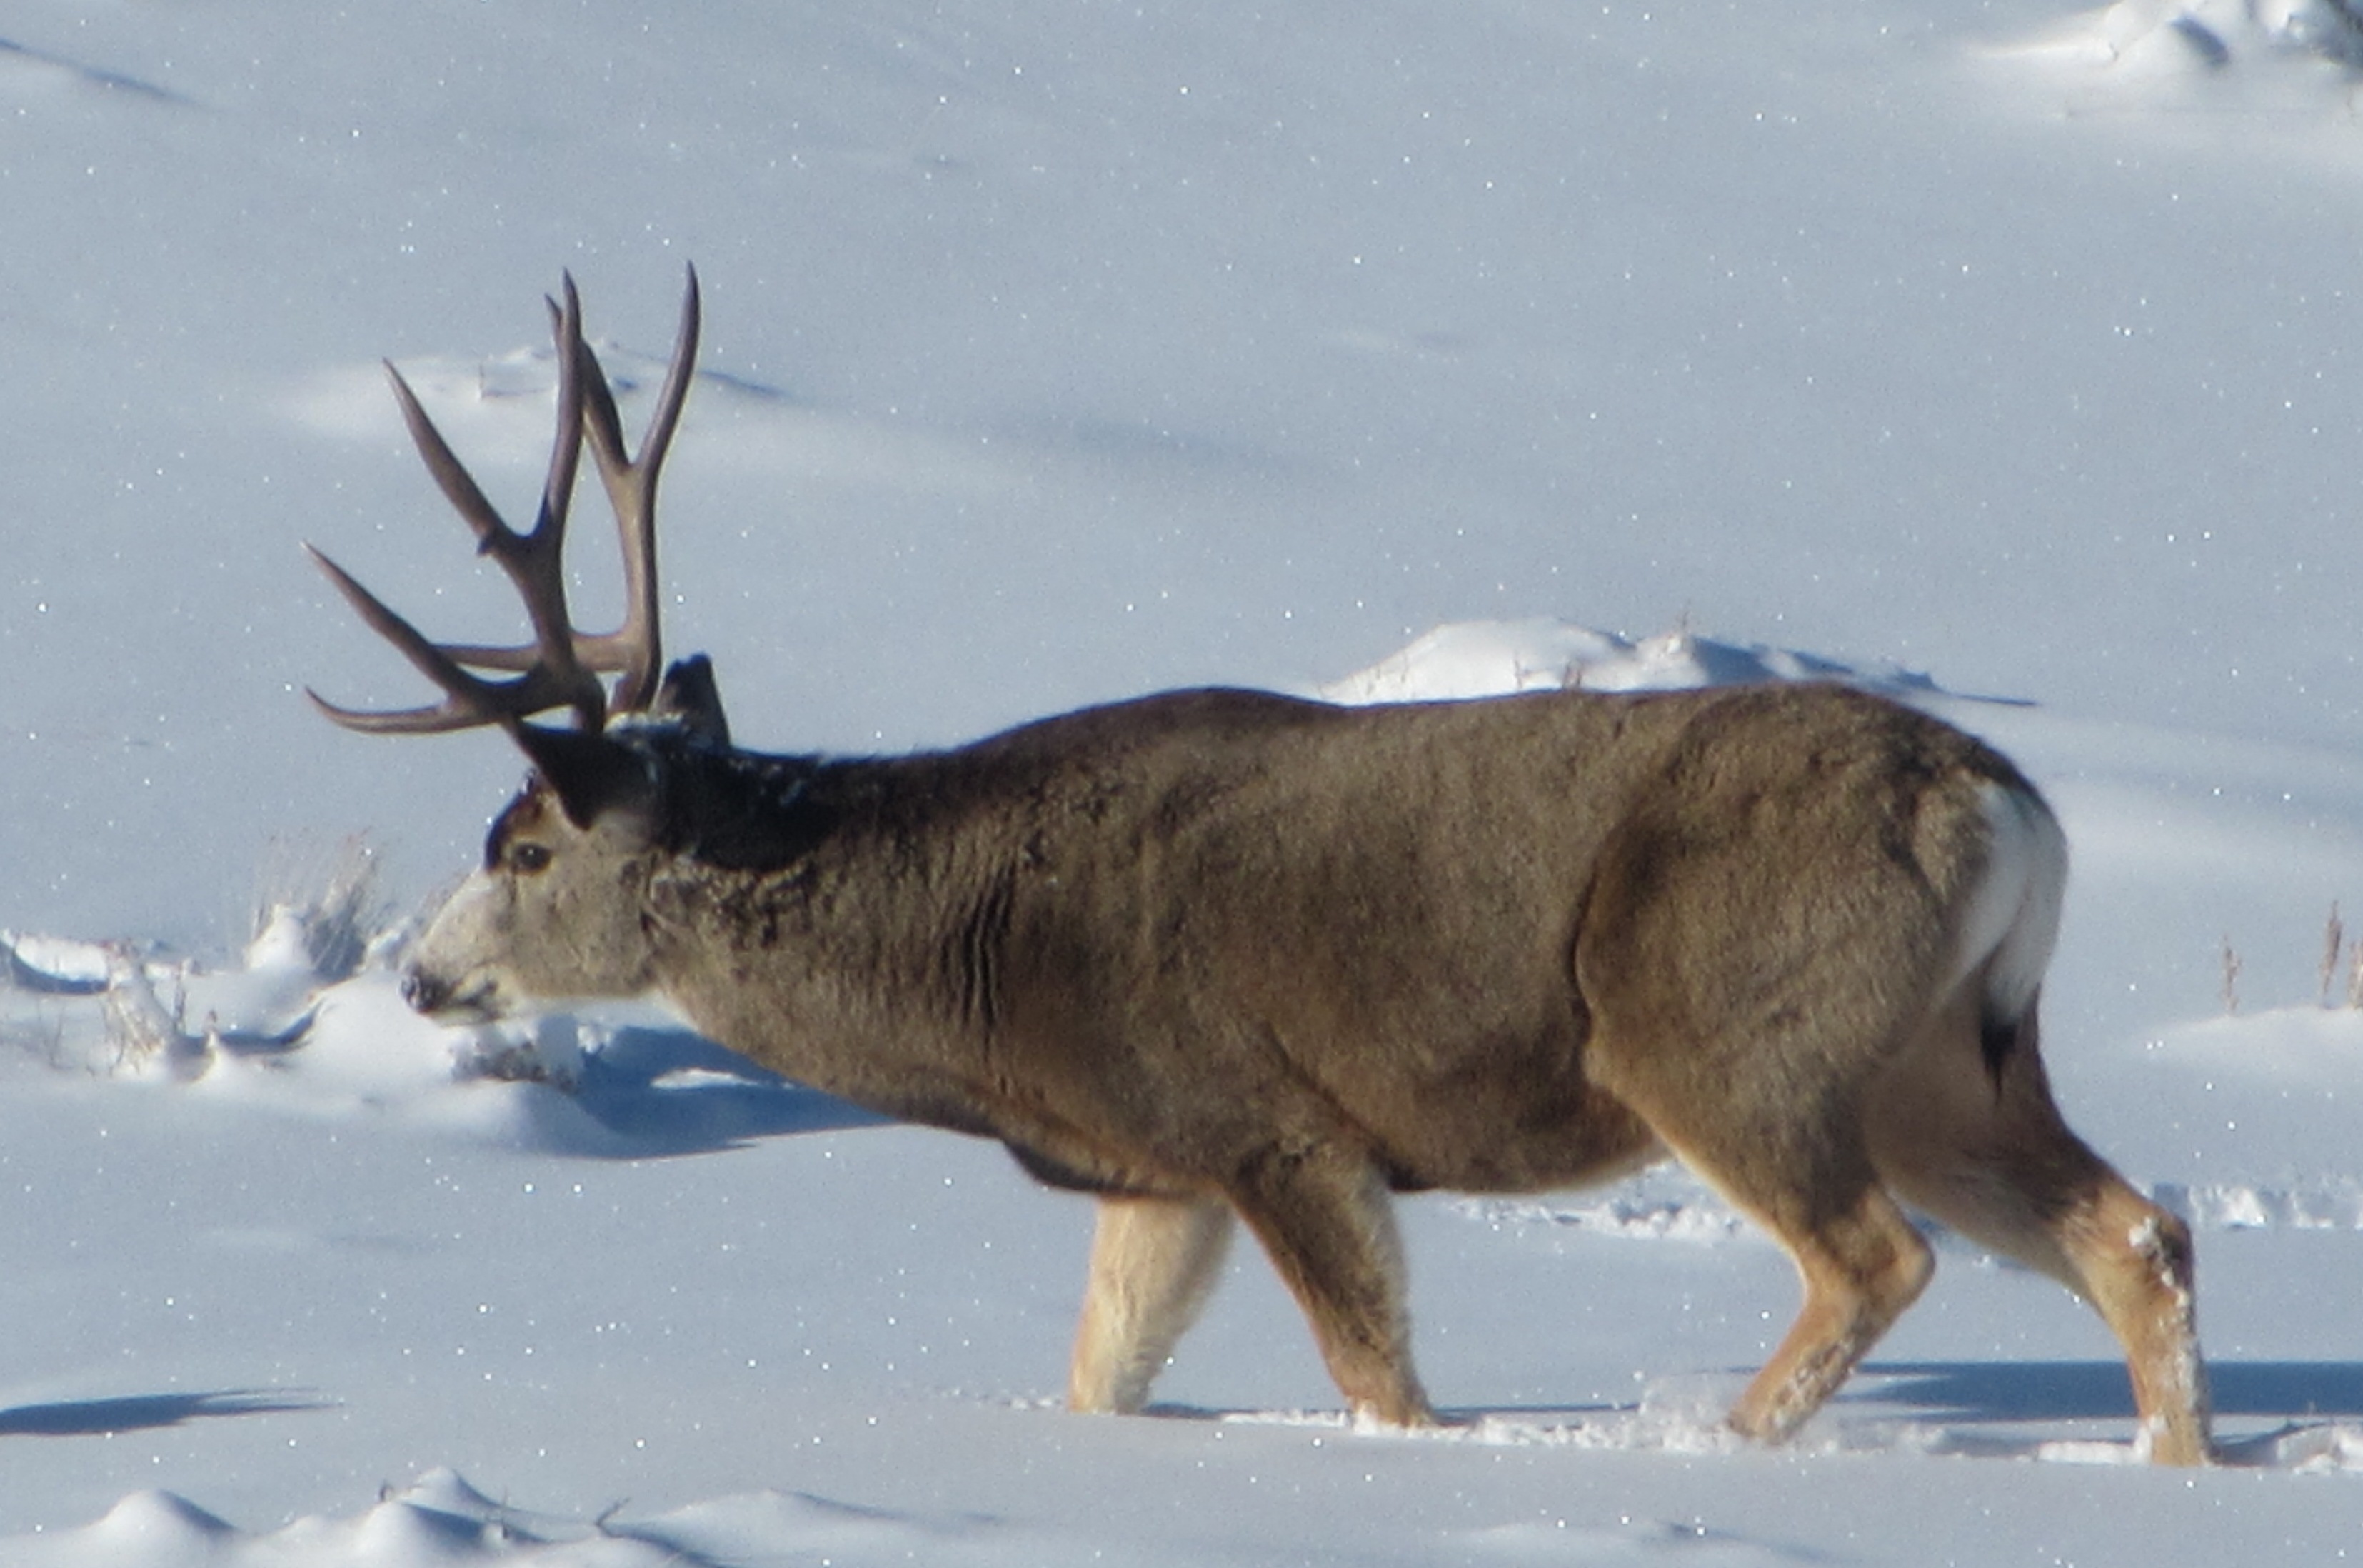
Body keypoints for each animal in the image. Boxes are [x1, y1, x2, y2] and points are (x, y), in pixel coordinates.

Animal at [306, 273, 2211, 1465]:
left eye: (521, 843)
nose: (417, 970)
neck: (982, 972)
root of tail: (2001, 804)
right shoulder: (1158, 1168)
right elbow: (1101, 1379)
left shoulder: (1262, 1112)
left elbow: (1380, 1384)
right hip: (1943, 1053)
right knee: (2138, 1229)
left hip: (1720, 1022)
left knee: (1875, 1258)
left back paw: (1716, 1448)